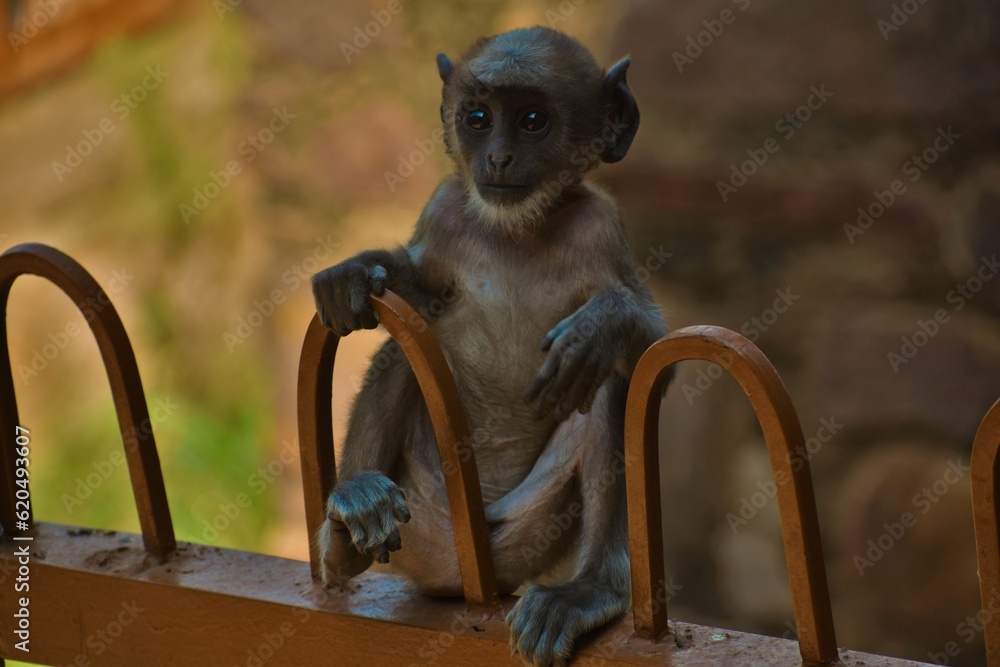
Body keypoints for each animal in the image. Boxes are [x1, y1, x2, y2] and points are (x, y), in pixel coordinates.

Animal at [311, 27, 667, 667]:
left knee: (608, 382)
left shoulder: (600, 225)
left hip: (525, 531)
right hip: (425, 505)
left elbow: (650, 346)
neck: (519, 229)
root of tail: (460, 578)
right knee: (400, 355)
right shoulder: (446, 208)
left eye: (532, 121)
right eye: (477, 118)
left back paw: (588, 591)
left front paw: (600, 326)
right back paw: (347, 529)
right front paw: (352, 273)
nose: (497, 156)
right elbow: (412, 288)